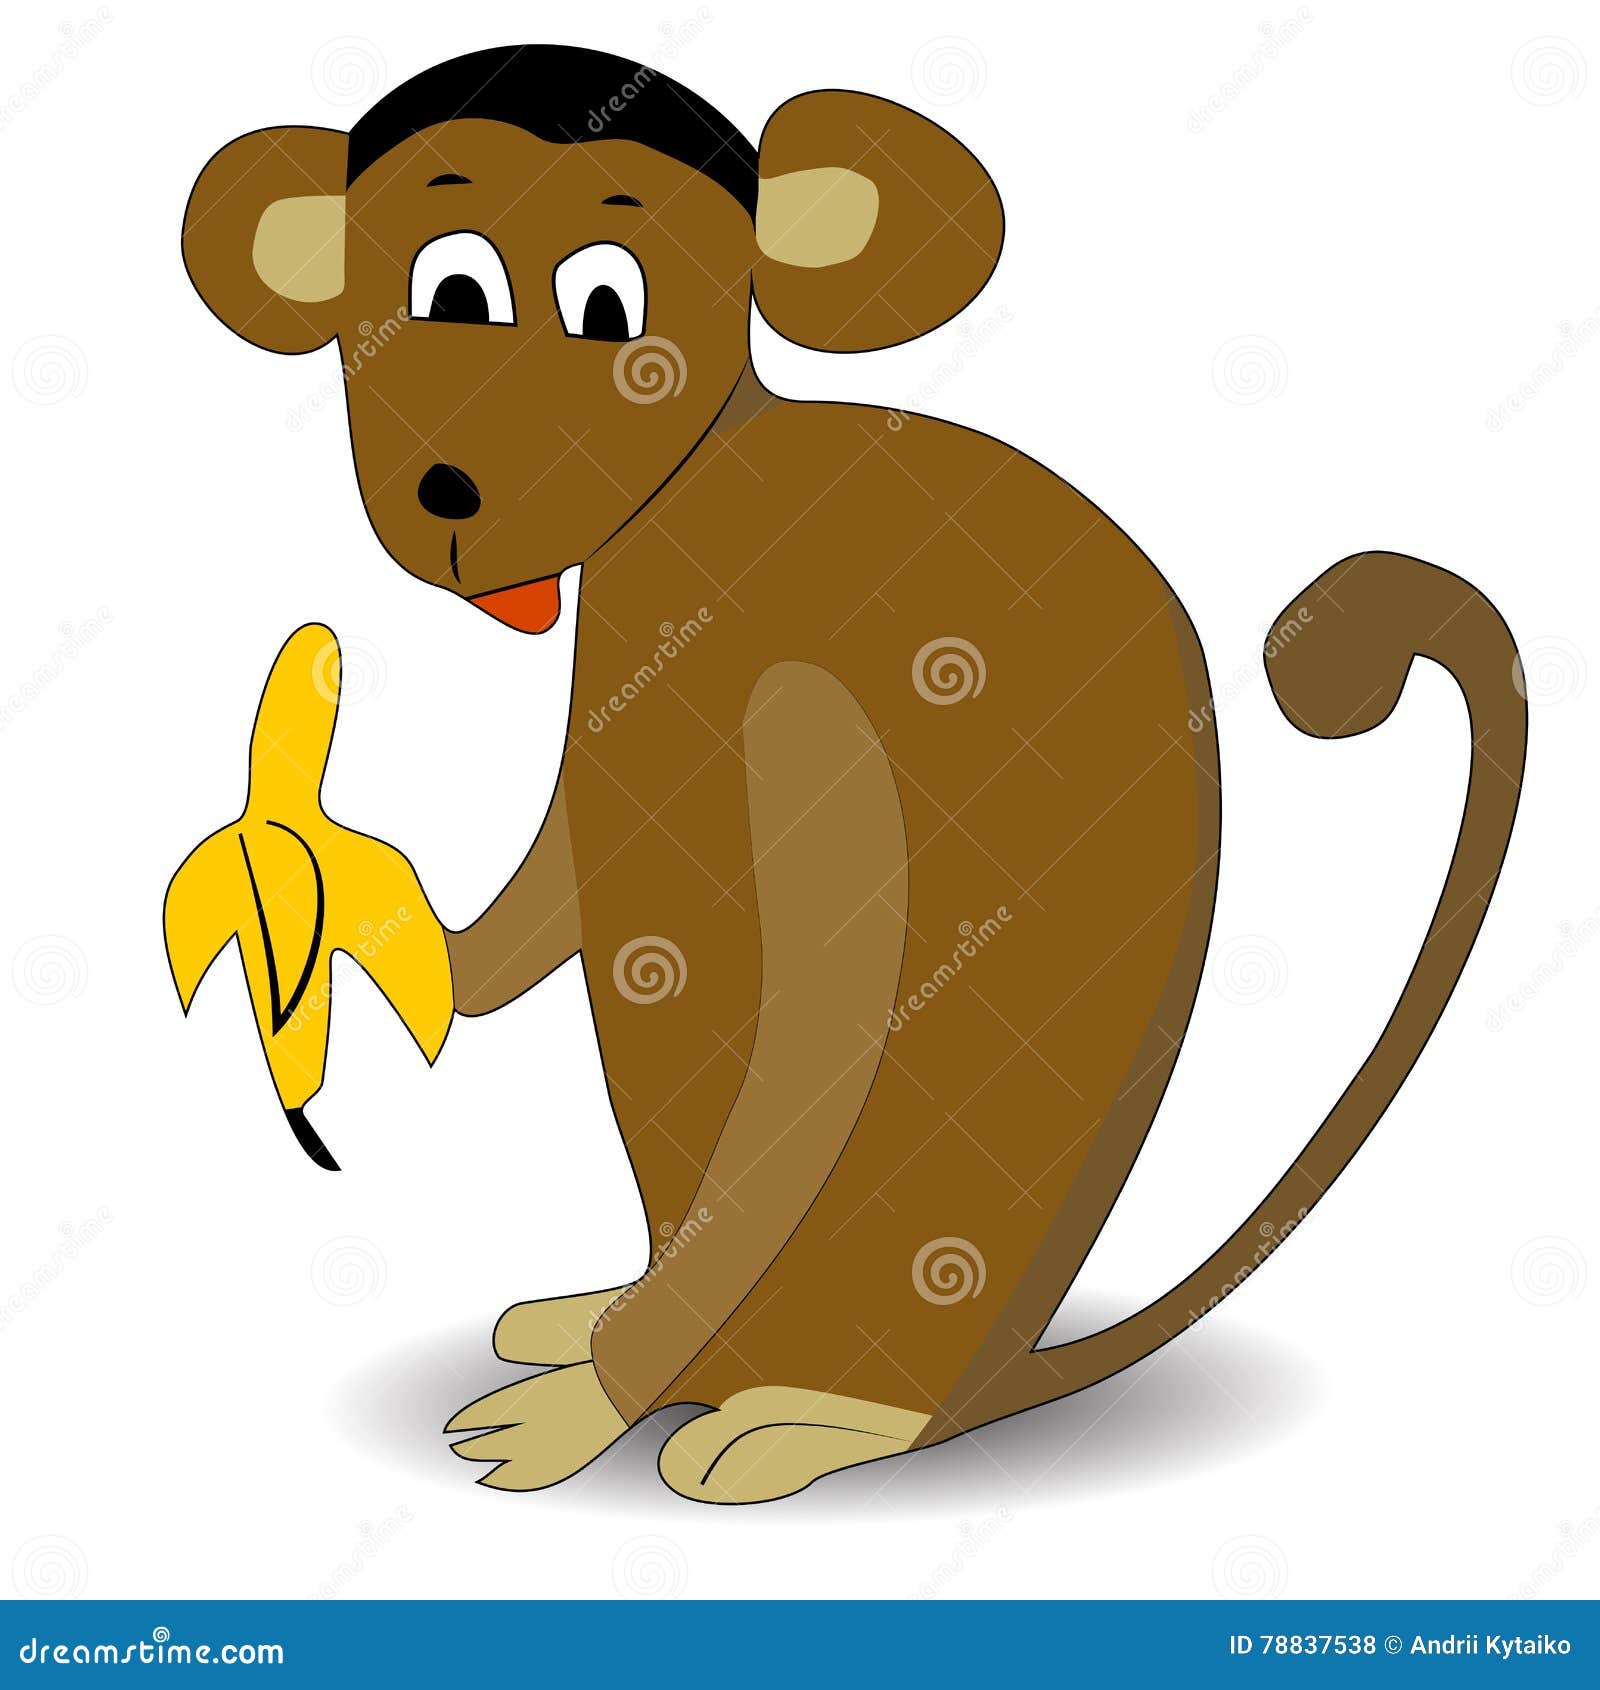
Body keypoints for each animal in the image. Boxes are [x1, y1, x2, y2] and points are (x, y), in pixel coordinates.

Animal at [178, 44, 1525, 1503]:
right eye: (447, 289)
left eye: (608, 305)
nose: (448, 497)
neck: (696, 500)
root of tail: (999, 1378)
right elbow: (542, 911)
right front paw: (325, 885)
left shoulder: (802, 719)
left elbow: (824, 1017)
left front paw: (586, 1407)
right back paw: (600, 1315)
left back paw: (777, 1411)